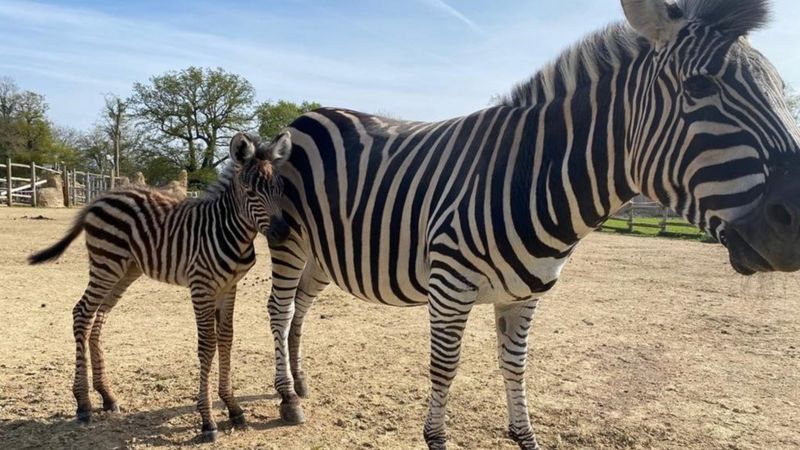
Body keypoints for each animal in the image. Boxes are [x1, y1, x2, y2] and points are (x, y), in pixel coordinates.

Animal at [28, 132, 292, 443]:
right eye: (250, 192)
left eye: (280, 189)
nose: (283, 233)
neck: (229, 231)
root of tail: (100, 197)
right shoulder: (201, 286)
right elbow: (207, 345)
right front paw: (208, 421)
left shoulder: (229, 287)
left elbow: (226, 340)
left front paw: (234, 408)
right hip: (107, 264)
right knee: (82, 313)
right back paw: (83, 404)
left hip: (125, 270)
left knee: (98, 317)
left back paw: (107, 396)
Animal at [259, 0, 800, 449]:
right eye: (700, 86)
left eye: (782, 94)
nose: (795, 220)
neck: (531, 177)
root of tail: (305, 116)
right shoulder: (449, 287)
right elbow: (445, 368)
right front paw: (437, 438)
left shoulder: (524, 295)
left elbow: (515, 367)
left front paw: (524, 436)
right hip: (289, 240)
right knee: (280, 310)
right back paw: (287, 399)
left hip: (324, 252)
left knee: (302, 305)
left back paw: (300, 383)